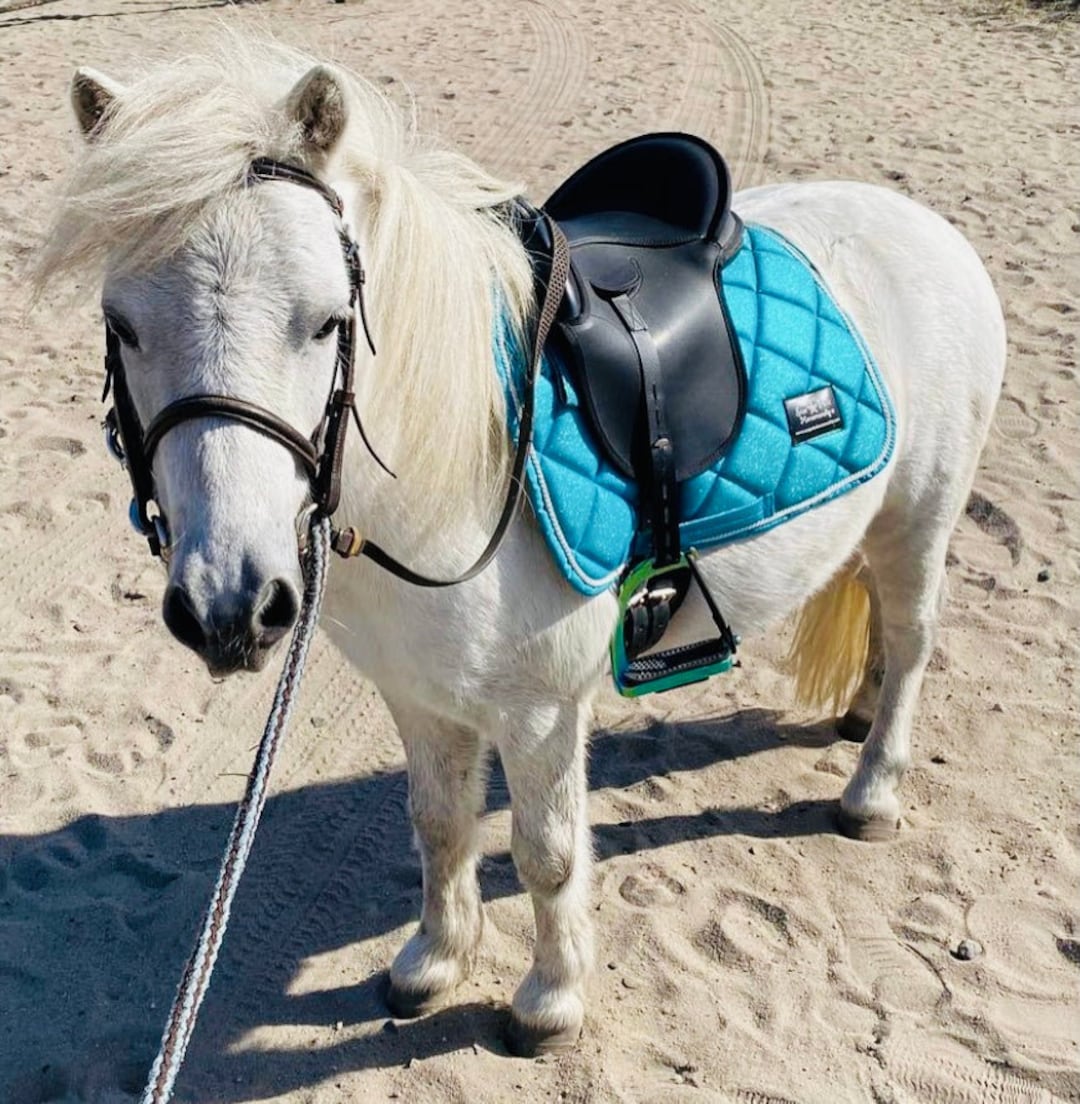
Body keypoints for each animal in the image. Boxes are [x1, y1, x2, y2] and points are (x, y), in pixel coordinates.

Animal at [37, 37, 1005, 1056]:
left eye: (327, 320)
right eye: (122, 324)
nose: (230, 605)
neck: (450, 471)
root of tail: (917, 220)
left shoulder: (541, 708)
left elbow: (545, 854)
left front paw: (549, 998)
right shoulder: (417, 693)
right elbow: (439, 823)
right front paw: (434, 960)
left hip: (922, 517)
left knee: (912, 642)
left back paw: (873, 788)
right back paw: (856, 717)